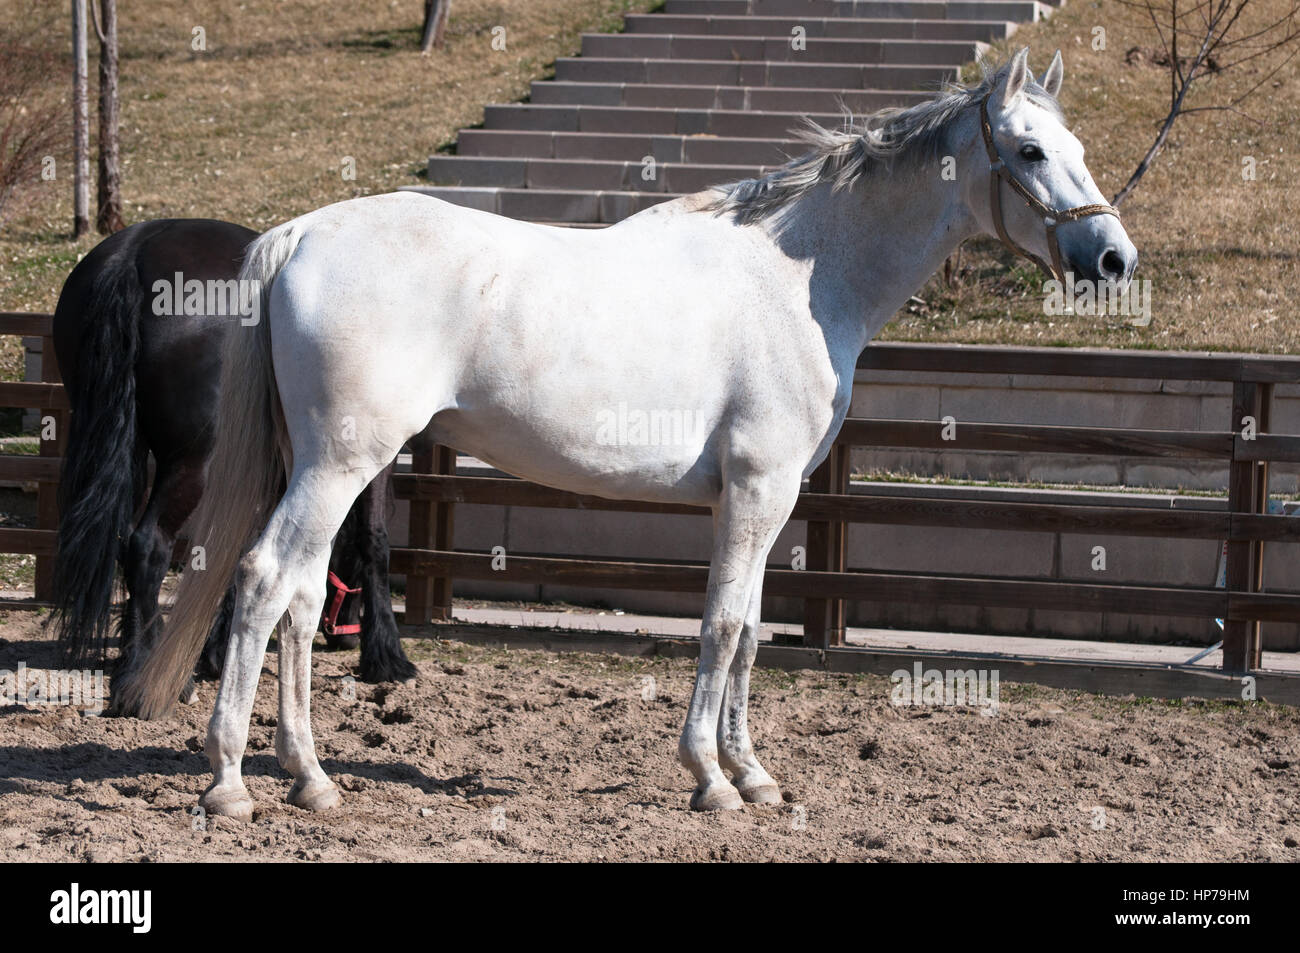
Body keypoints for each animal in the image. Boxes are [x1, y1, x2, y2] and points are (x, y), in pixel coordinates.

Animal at [50, 218, 416, 716]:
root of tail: (136, 251)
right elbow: (372, 538)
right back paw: (141, 683)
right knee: (148, 546)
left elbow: (234, 549)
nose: (344, 635)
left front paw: (215, 651)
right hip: (194, 464)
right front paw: (387, 655)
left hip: (126, 447)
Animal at [119, 51, 1136, 818]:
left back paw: (311, 777)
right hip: (340, 463)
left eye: (1080, 146)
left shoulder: (765, 498)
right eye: (1031, 149)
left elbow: (751, 628)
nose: (1114, 258)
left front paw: (754, 774)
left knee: (297, 599)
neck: (800, 279)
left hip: (325, 468)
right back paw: (229, 783)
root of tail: (298, 235)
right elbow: (722, 624)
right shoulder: (760, 486)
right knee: (261, 581)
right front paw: (711, 779)